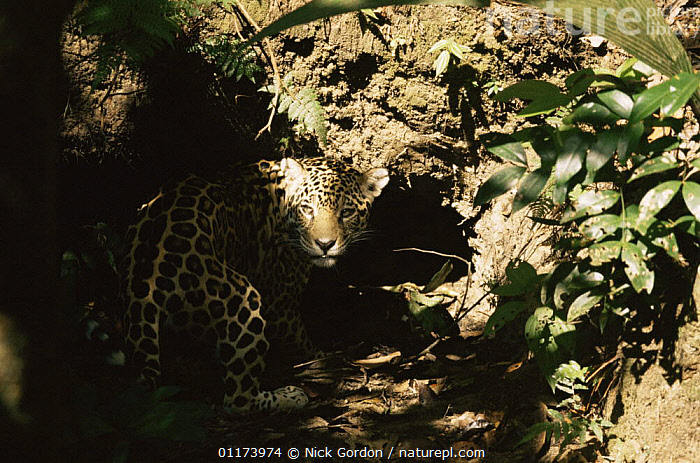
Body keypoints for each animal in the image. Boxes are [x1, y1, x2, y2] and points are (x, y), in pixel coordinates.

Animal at [121, 157, 389, 413]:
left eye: (346, 212)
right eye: (307, 209)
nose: (325, 244)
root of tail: (145, 285)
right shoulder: (281, 306)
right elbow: (303, 344)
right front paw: (326, 359)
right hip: (243, 296)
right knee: (238, 400)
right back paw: (289, 396)